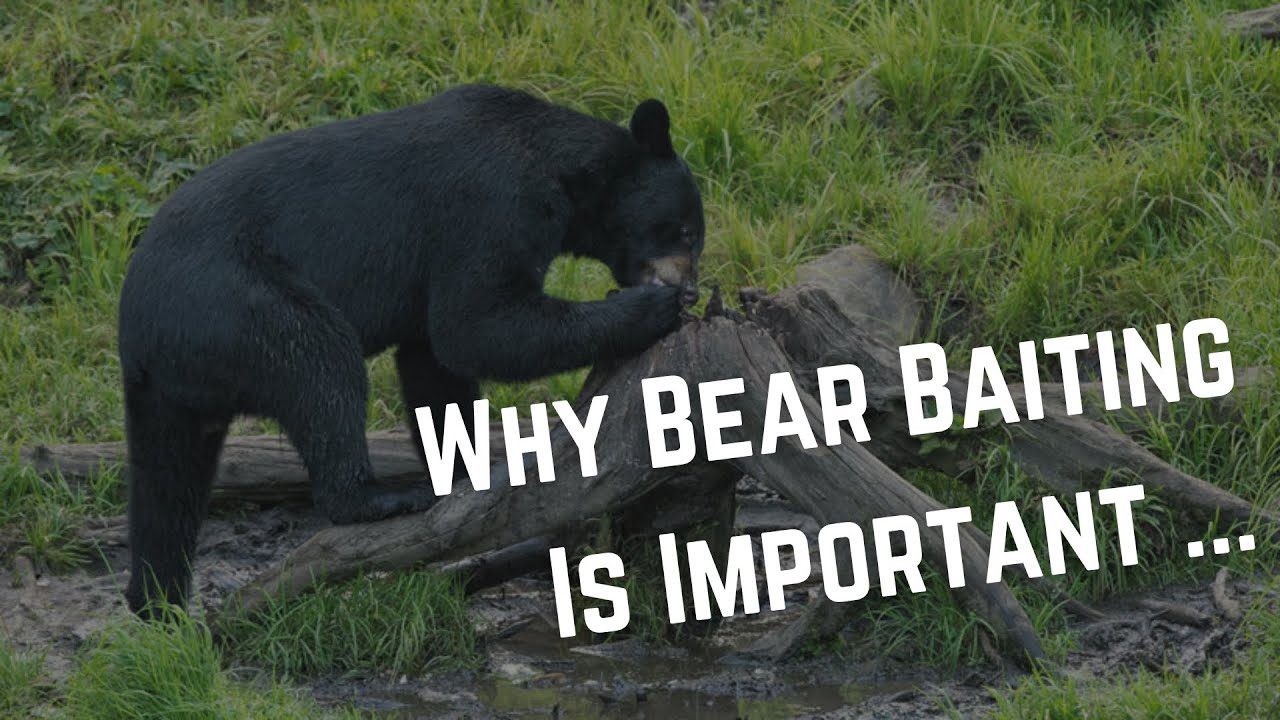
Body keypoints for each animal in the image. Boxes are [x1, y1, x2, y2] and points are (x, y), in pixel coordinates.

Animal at [117, 84, 705, 616]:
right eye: (683, 231)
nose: (690, 288)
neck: (560, 170)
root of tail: (139, 328)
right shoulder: (492, 206)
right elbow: (477, 324)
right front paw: (645, 309)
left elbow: (435, 366)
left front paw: (466, 469)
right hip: (239, 302)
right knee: (319, 366)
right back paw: (377, 498)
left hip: (172, 387)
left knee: (167, 482)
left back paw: (158, 601)